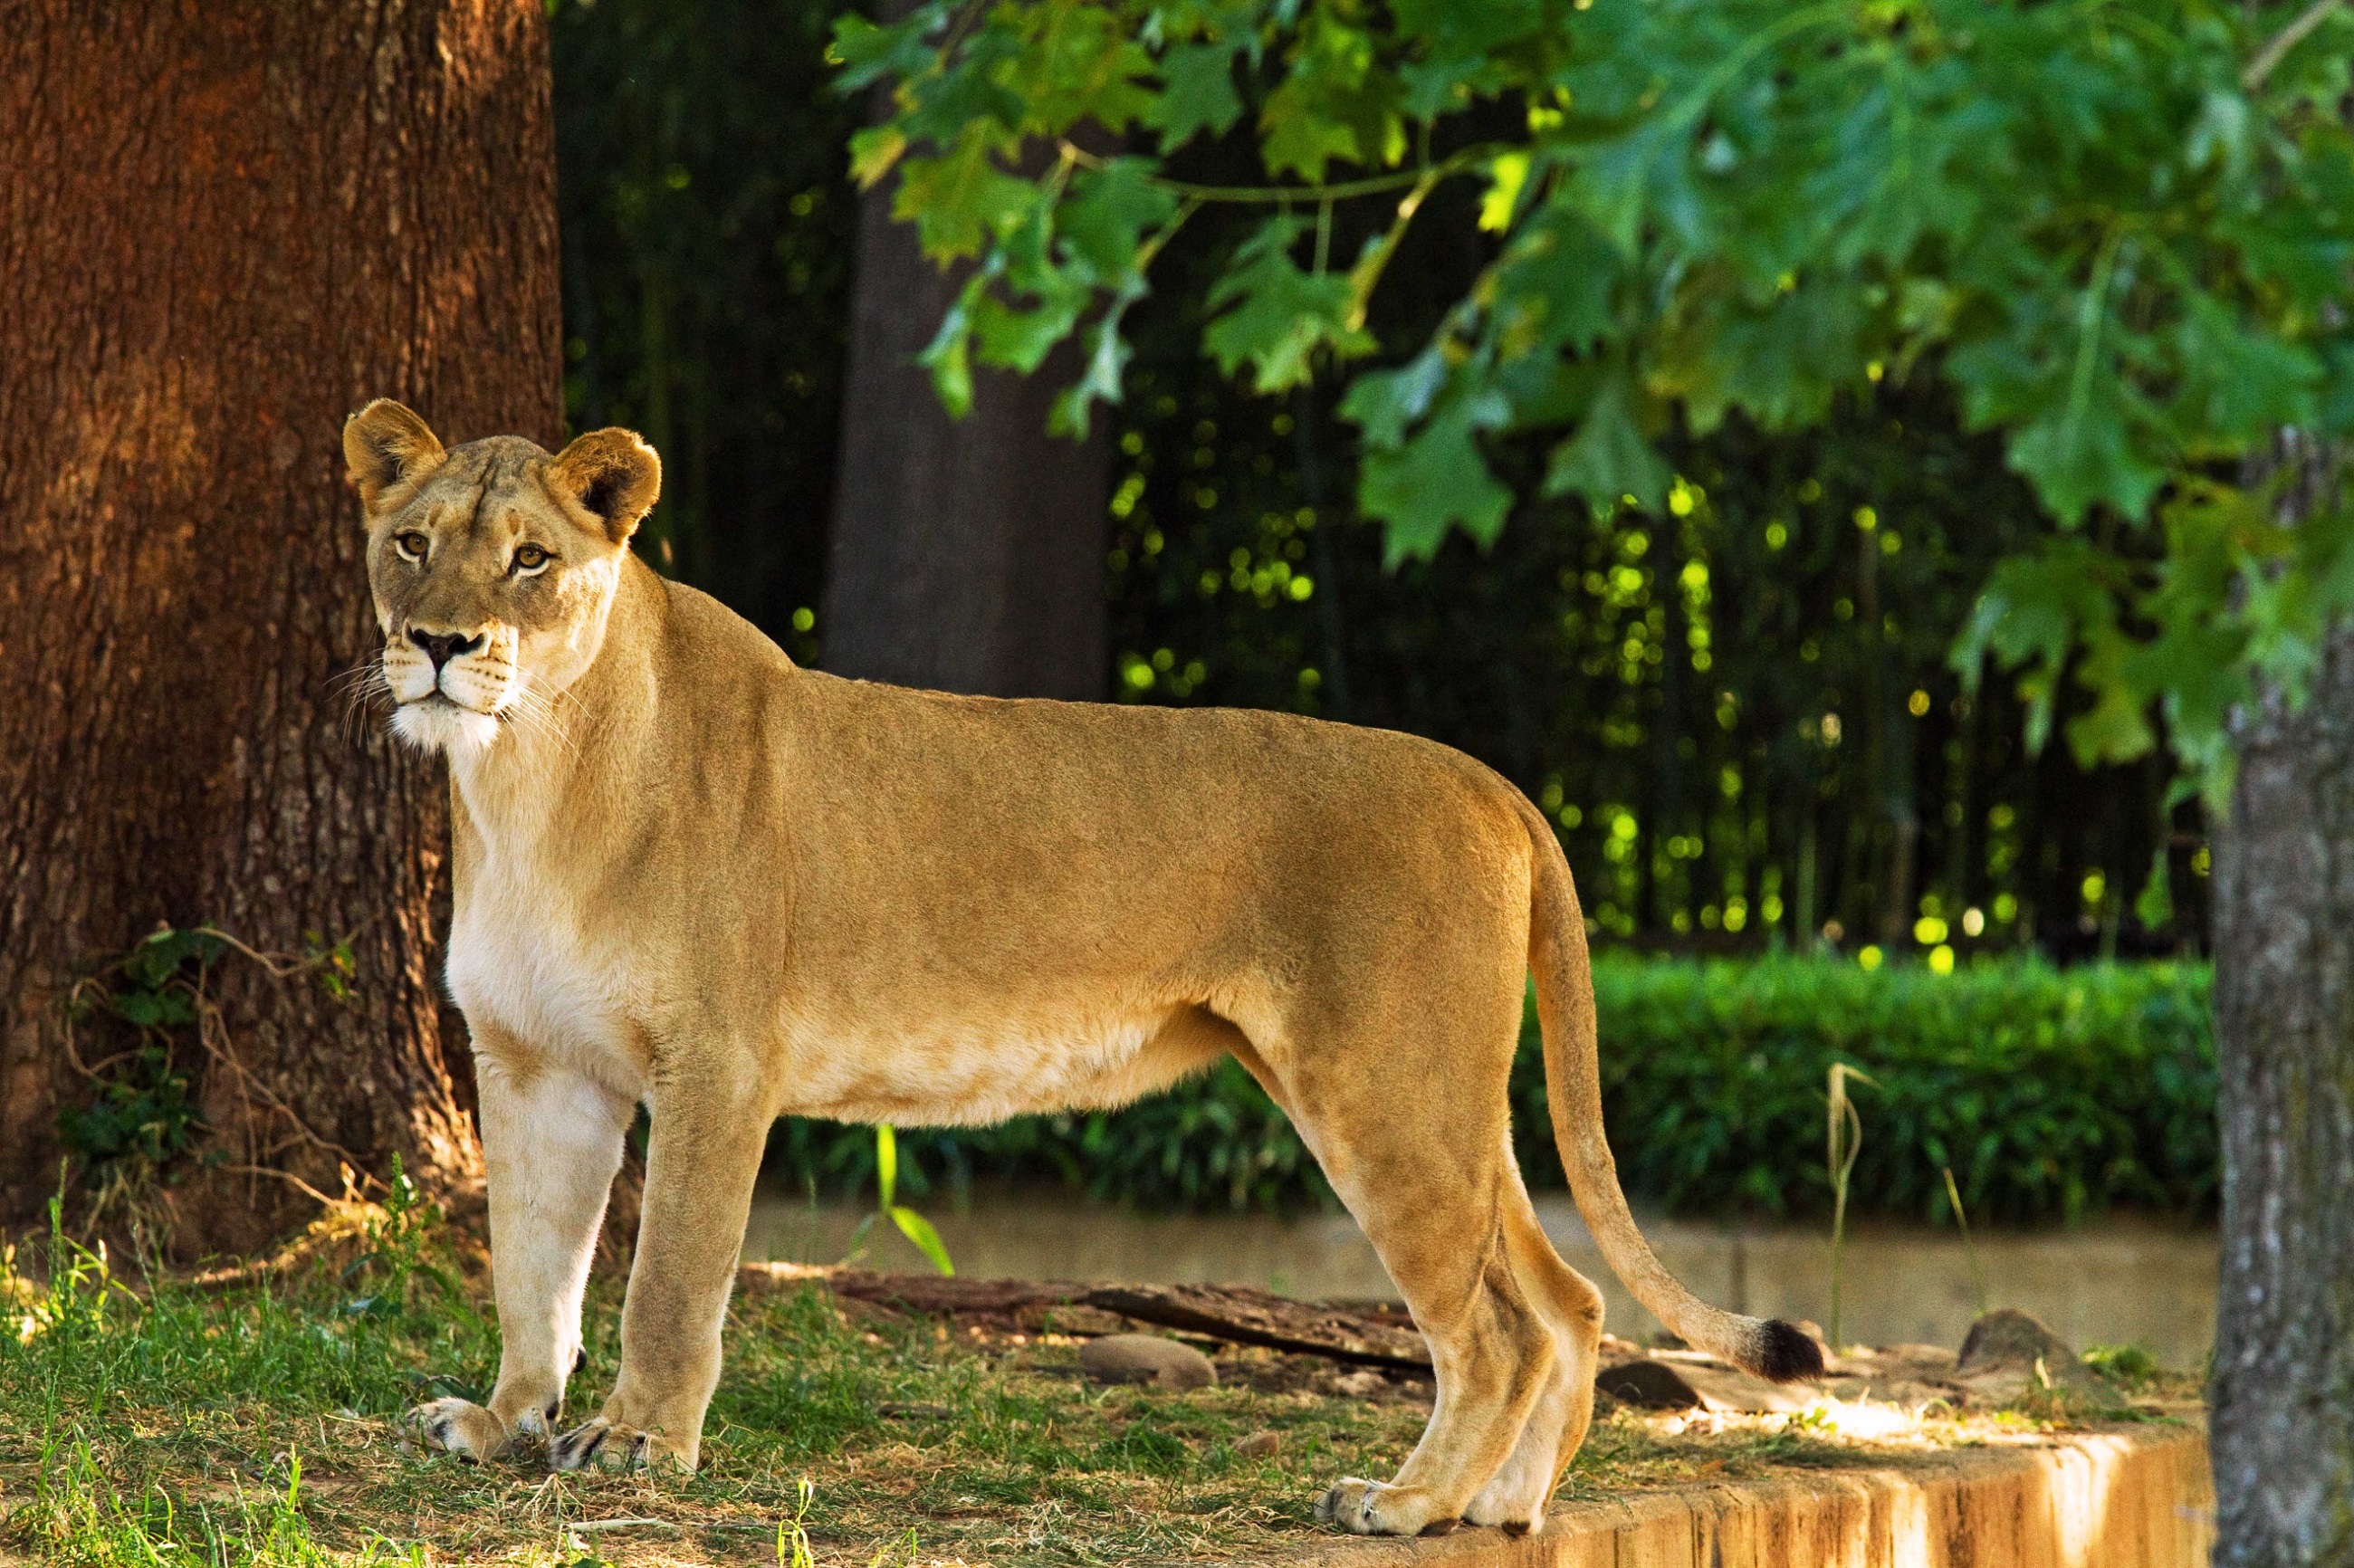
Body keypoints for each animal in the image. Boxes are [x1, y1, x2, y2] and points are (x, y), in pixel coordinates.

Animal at [344, 399, 1820, 1537]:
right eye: (410, 543)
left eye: (531, 560)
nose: (440, 647)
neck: (524, 779)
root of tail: (1490, 782)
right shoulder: (536, 1065)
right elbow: (531, 1265)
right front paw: (503, 1422)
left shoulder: (718, 1066)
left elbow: (667, 1281)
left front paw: (640, 1447)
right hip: (1447, 1100)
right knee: (1567, 1299)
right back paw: (1502, 1509)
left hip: (1383, 1092)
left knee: (1499, 1328)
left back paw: (1406, 1505)